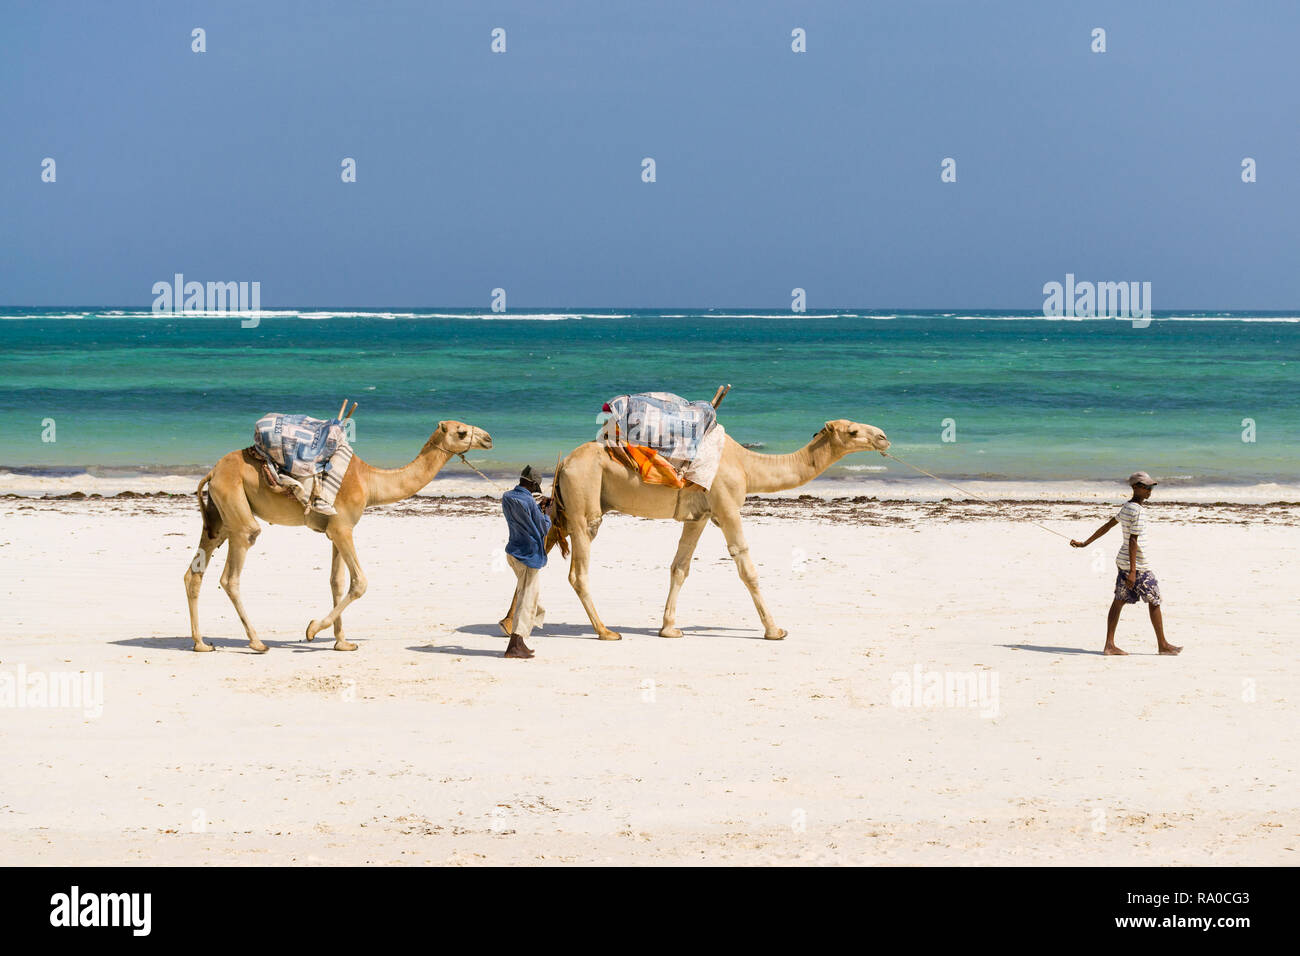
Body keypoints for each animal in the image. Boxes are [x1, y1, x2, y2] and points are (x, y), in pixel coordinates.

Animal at [185, 420, 492, 653]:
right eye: (461, 431)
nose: (488, 438)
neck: (370, 481)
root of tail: (213, 471)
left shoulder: (333, 531)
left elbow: (337, 581)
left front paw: (342, 642)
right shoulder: (343, 528)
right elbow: (359, 582)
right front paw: (312, 630)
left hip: (219, 520)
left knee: (194, 573)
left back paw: (201, 644)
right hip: (238, 512)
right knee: (231, 575)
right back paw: (257, 642)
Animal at [501, 419, 889, 641]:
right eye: (853, 431)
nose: (884, 437)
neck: (747, 464)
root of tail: (564, 462)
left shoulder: (699, 516)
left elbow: (680, 567)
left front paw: (669, 628)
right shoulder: (727, 507)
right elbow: (746, 567)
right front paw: (774, 630)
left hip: (566, 507)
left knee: (539, 550)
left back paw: (508, 625)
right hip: (585, 507)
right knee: (577, 571)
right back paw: (605, 631)